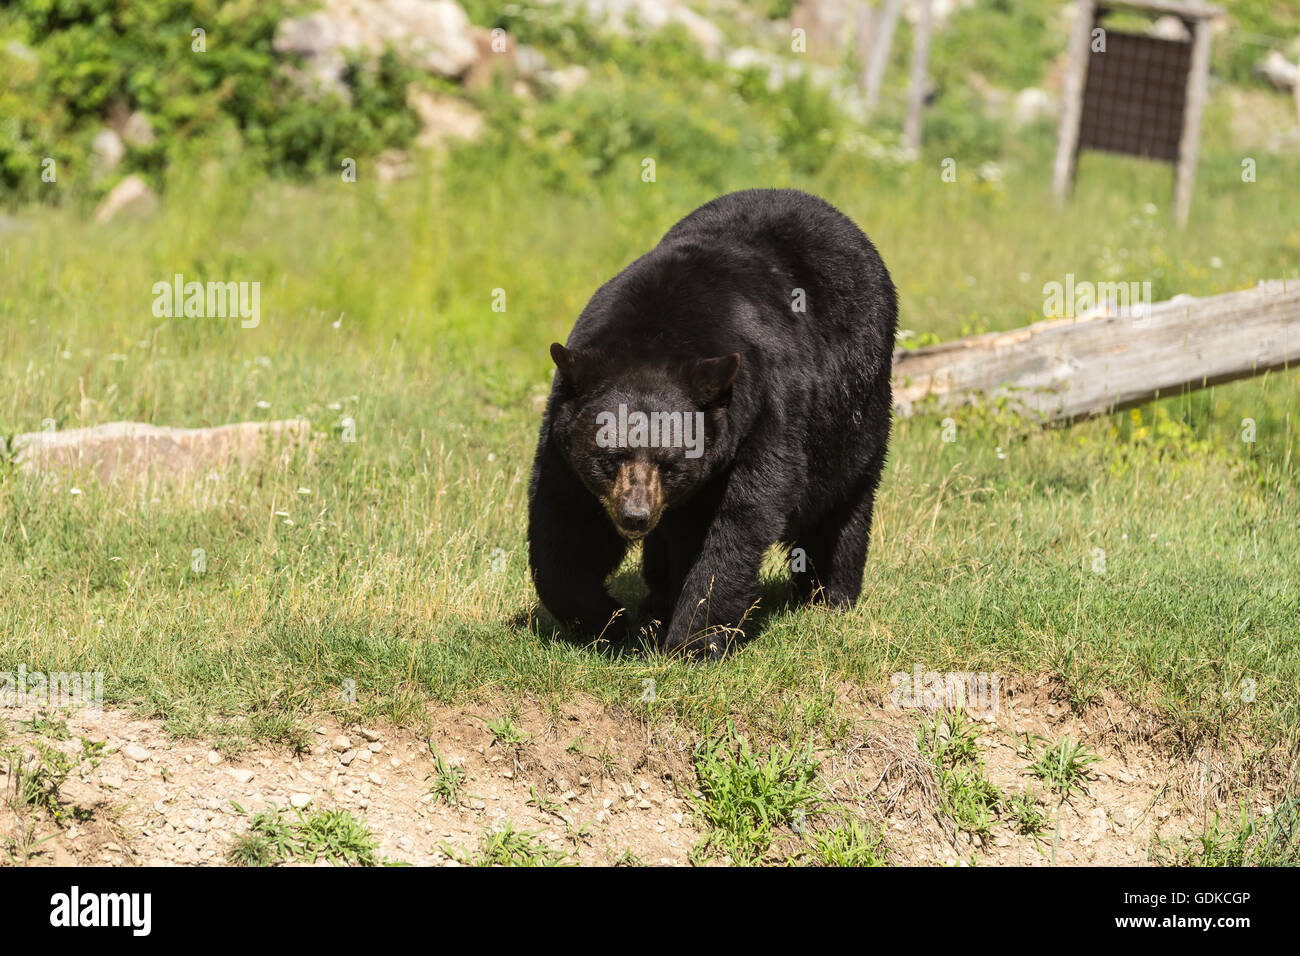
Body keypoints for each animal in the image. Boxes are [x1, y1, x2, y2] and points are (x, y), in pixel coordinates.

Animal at [527, 188, 897, 659]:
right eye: (611, 457)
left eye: (669, 462)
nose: (634, 516)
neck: (657, 336)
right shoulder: (565, 430)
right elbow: (565, 519)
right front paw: (606, 621)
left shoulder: (762, 413)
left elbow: (738, 522)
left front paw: (693, 640)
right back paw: (656, 600)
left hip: (857, 409)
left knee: (844, 504)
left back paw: (830, 595)